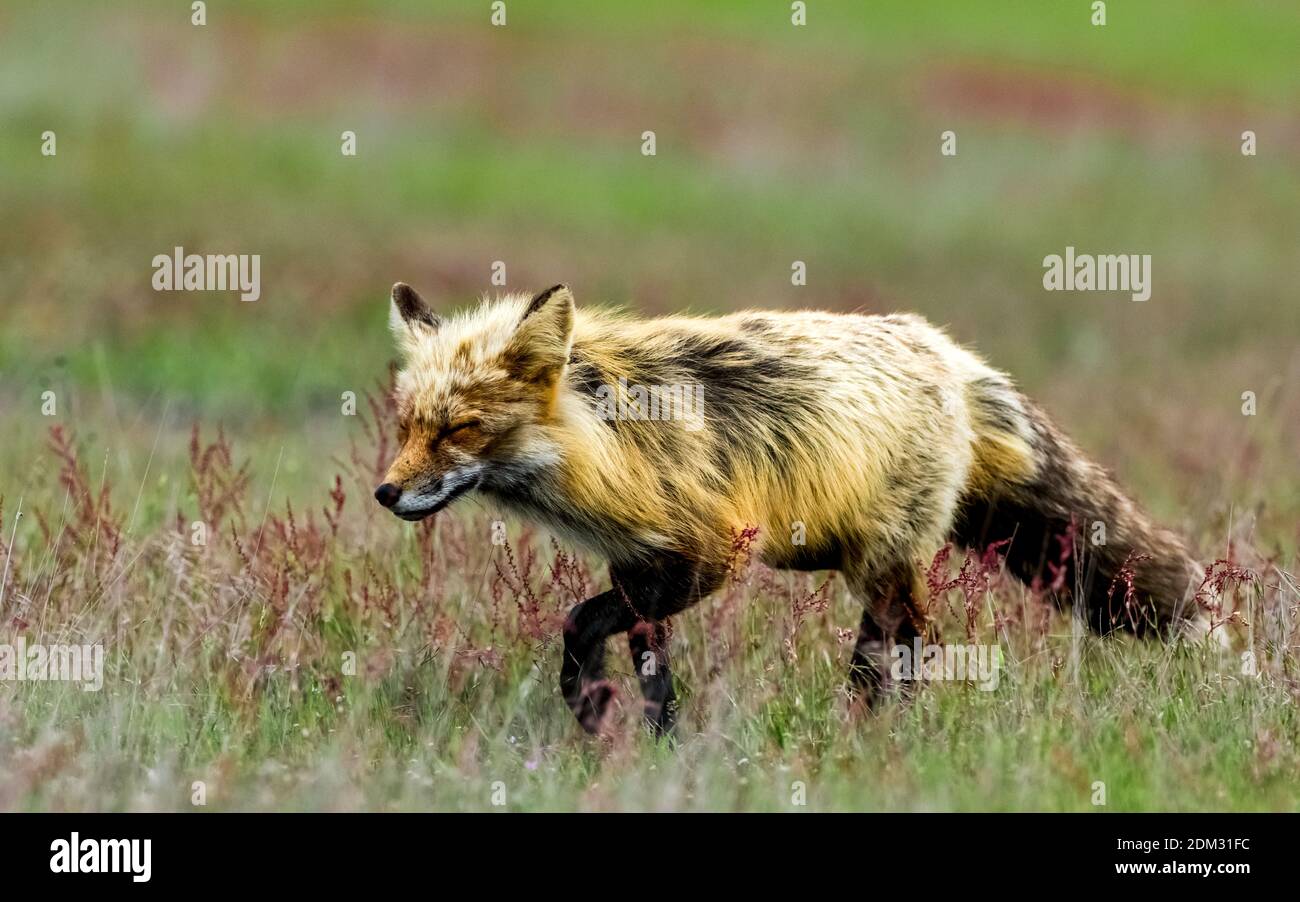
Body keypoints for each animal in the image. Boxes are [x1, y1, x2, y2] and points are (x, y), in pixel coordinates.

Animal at [375, 282, 1215, 734]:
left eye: (459, 430)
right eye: (408, 426)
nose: (386, 492)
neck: (604, 441)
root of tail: (945, 349)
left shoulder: (710, 552)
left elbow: (580, 622)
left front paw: (591, 707)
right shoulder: (638, 566)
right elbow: (647, 666)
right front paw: (650, 738)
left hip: (886, 562)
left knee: (907, 648)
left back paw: (876, 737)